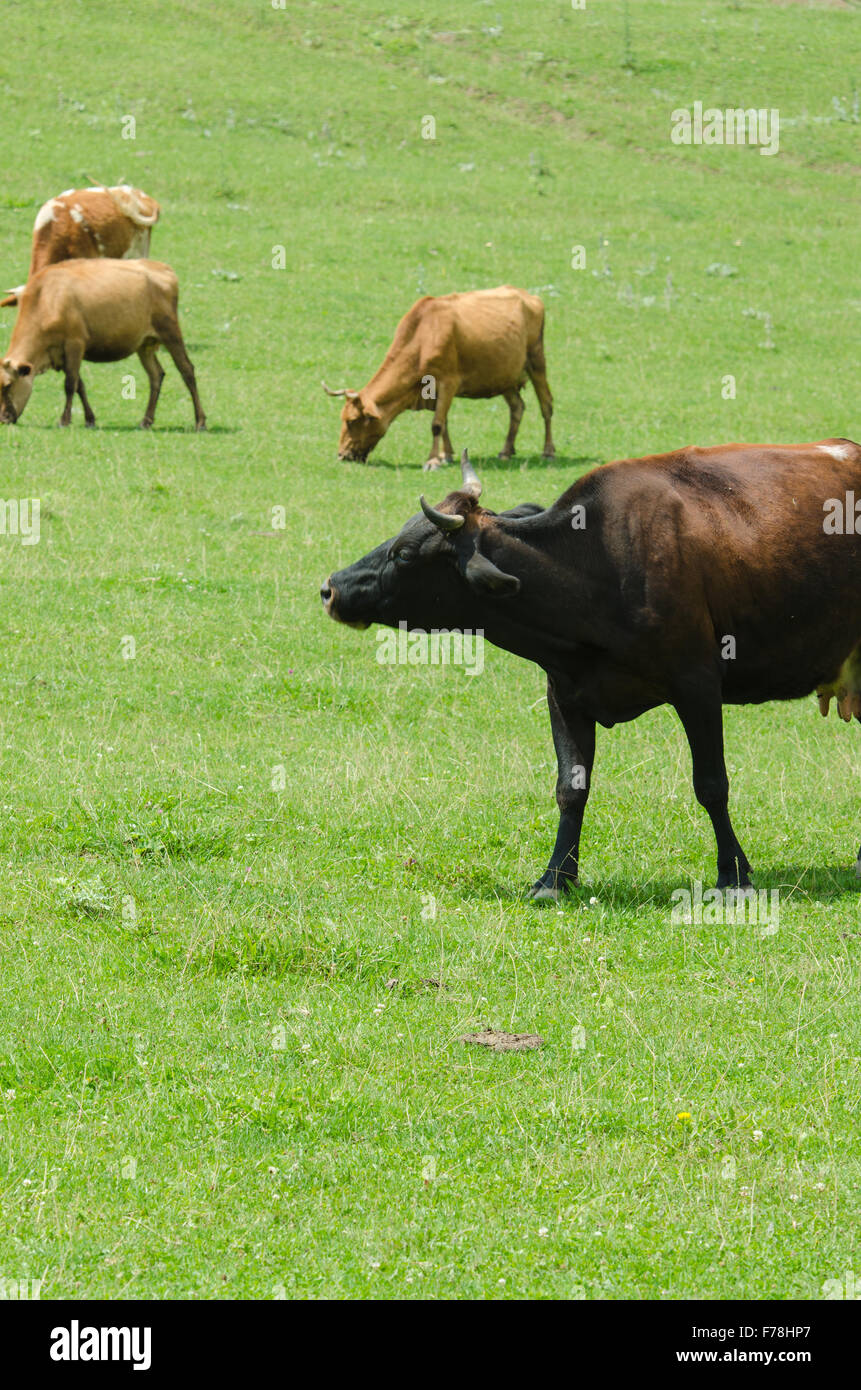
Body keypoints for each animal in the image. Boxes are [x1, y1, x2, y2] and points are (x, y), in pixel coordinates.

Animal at [0, 258, 206, 430]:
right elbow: (80, 385)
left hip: (170, 332)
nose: (3, 419)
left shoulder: (75, 343)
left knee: (187, 370)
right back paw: (146, 421)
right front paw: (89, 419)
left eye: (8, 385)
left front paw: (64, 420)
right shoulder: (62, 353)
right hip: (144, 344)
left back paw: (200, 421)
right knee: (156, 374)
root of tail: (164, 268)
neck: (45, 300)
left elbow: (70, 383)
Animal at [322, 285, 555, 469]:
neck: (423, 336)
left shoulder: (448, 382)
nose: (342, 455)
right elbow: (444, 422)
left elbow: (436, 423)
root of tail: (529, 296)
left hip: (537, 360)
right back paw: (506, 451)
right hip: (504, 376)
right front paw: (447, 455)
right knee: (517, 407)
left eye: (352, 421)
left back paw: (548, 450)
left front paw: (433, 460)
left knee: (546, 405)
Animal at [322, 442, 861, 898]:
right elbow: (570, 788)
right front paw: (555, 878)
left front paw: (734, 874)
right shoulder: (565, 694)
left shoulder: (699, 685)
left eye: (404, 553)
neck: (601, 565)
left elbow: (711, 784)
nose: (330, 588)